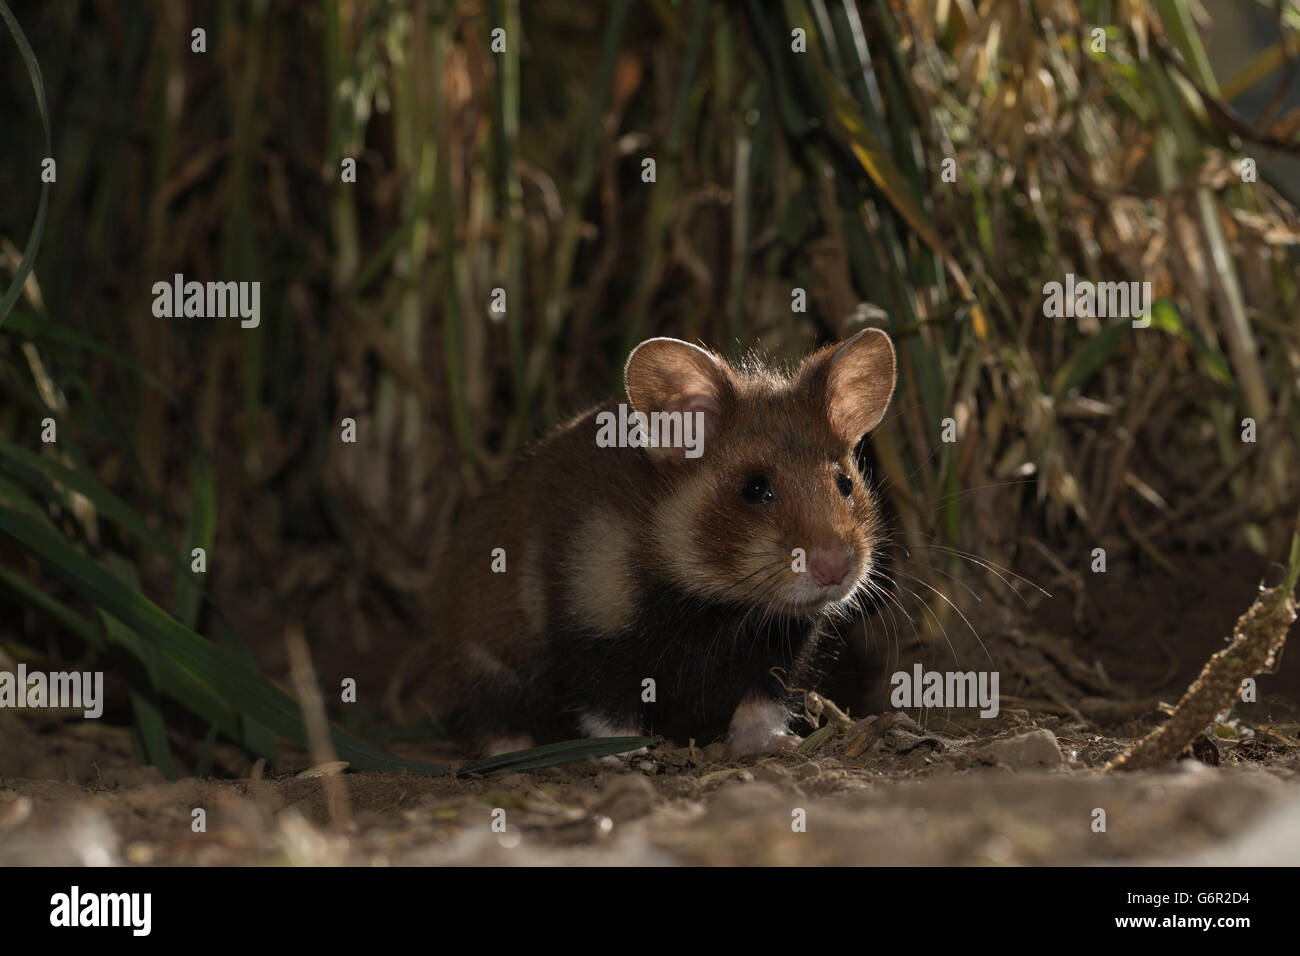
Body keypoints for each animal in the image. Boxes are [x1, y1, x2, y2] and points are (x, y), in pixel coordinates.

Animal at [425, 328, 897, 757]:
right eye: (754, 488)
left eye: (845, 483)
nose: (835, 568)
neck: (715, 602)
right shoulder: (589, 628)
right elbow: (606, 708)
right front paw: (630, 755)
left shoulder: (781, 642)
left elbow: (762, 702)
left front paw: (775, 746)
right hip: (487, 662)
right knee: (497, 716)